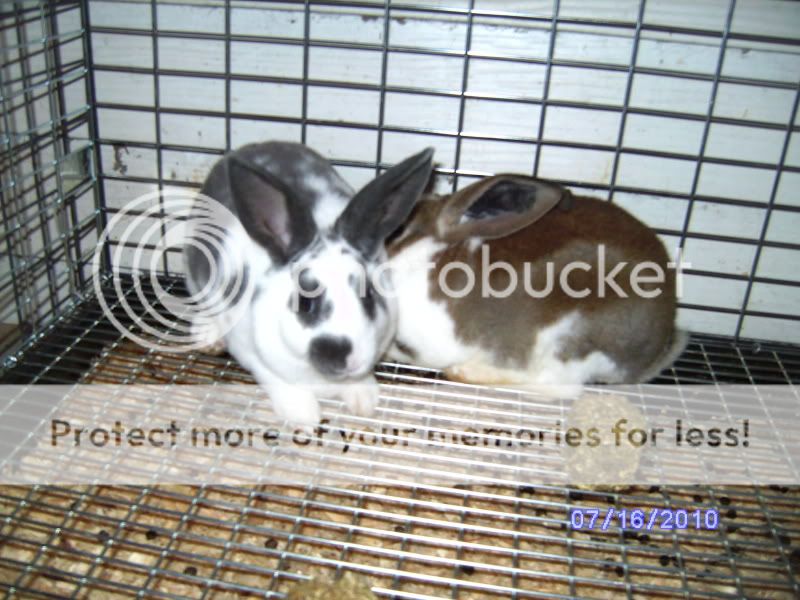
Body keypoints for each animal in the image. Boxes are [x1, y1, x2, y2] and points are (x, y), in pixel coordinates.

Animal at [184, 141, 434, 424]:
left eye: (368, 296)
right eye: (304, 303)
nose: (342, 356)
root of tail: (255, 146)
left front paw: (365, 401)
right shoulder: (250, 352)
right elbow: (276, 380)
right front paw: (304, 416)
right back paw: (207, 336)